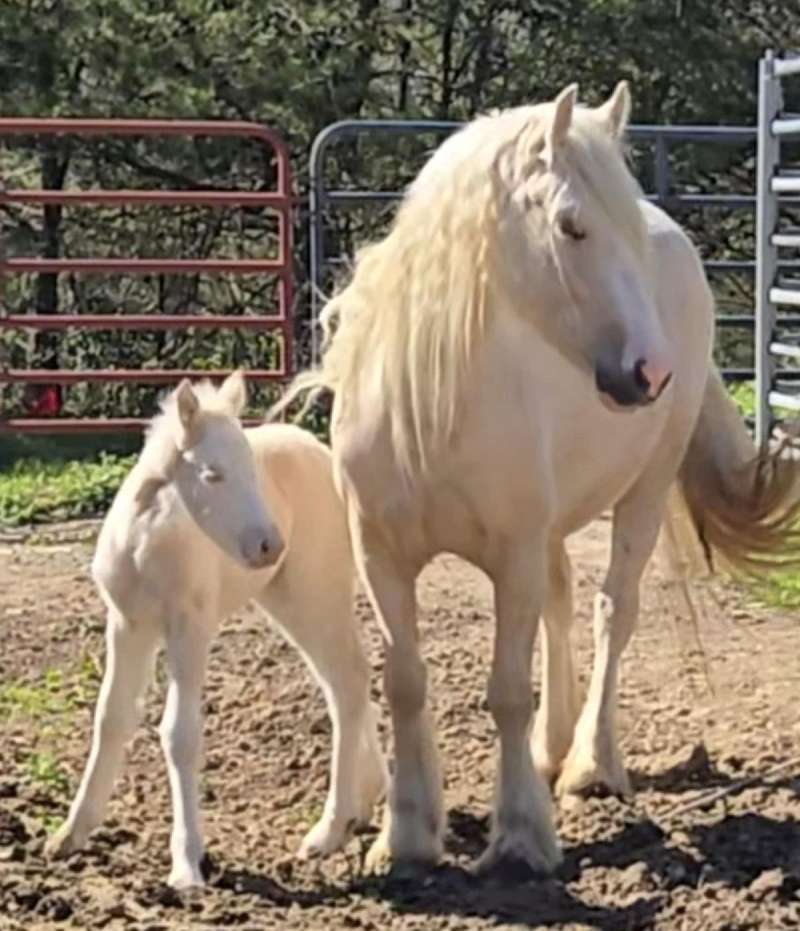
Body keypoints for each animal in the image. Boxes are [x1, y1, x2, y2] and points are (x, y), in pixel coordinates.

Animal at [45, 372, 386, 888]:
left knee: (348, 681)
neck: (149, 543)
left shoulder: (190, 628)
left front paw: (187, 864)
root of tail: (320, 450)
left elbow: (179, 734)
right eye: (213, 474)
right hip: (288, 601)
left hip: (314, 593)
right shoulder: (127, 624)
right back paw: (363, 804)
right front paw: (71, 833)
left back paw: (329, 829)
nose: (269, 546)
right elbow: (111, 718)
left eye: (251, 469)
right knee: (344, 680)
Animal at [271, 82, 800, 875]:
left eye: (622, 236)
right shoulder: (382, 558)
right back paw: (556, 747)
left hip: (643, 494)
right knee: (564, 598)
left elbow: (507, 693)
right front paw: (407, 837)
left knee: (614, 609)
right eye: (571, 227)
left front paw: (521, 835)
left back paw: (590, 763)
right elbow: (405, 683)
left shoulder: (512, 556)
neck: (430, 411)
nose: (652, 371)